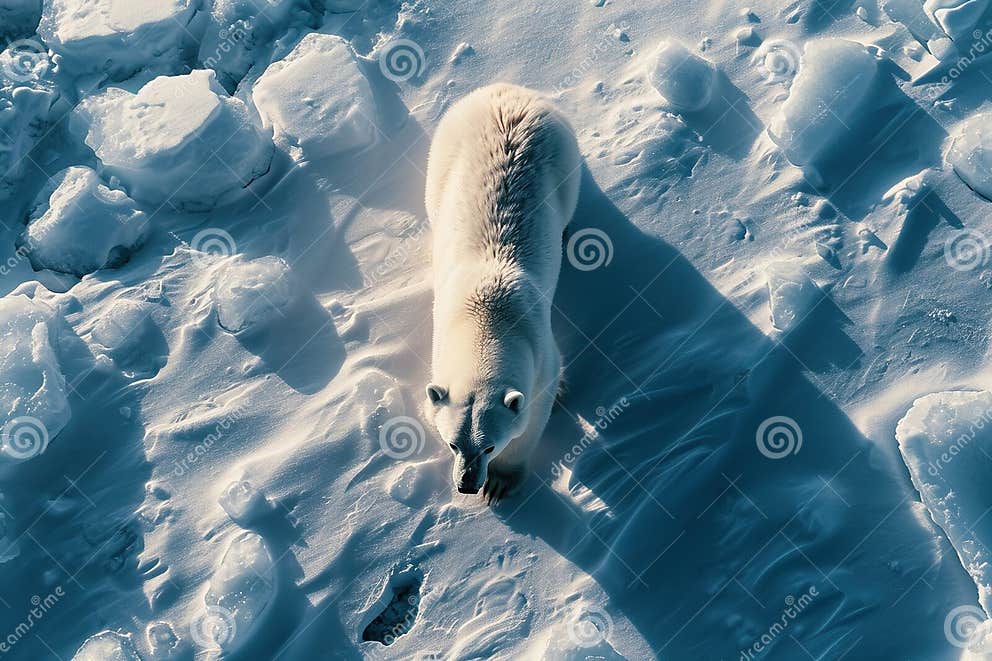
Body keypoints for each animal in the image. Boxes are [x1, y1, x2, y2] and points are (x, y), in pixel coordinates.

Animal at [424, 83, 581, 503]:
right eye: (452, 444)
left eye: (490, 446)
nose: (466, 484)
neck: (487, 315)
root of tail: (506, 91)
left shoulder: (540, 356)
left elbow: (535, 415)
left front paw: (500, 482)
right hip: (443, 152)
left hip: (563, 155)